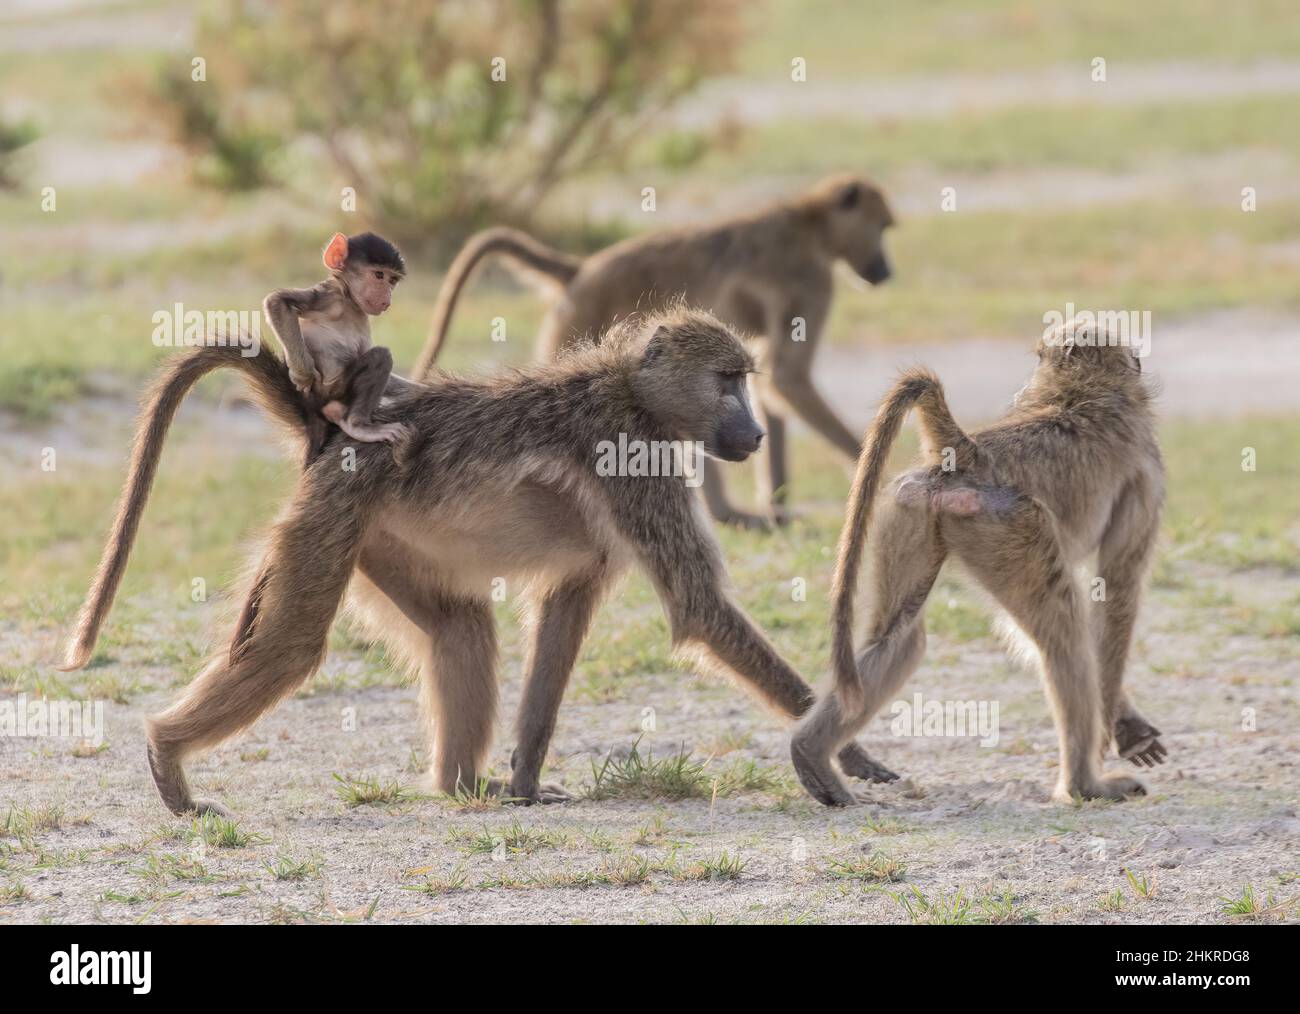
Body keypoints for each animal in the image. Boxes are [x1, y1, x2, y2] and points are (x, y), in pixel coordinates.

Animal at [59, 306, 895, 817]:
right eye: (728, 381)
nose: (754, 433)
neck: (632, 390)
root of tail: (333, 434)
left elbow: (562, 616)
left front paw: (526, 779)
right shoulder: (637, 468)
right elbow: (699, 608)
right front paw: (846, 753)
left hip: (378, 540)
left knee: (461, 631)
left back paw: (467, 787)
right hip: (331, 519)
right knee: (290, 649)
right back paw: (167, 759)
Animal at [263, 231, 412, 463]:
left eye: (392, 280)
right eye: (379, 275)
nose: (387, 300)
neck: (349, 301)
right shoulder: (329, 295)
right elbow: (277, 302)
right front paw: (303, 374)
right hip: (333, 391)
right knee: (380, 357)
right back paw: (356, 425)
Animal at [411, 173, 896, 530]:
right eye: (882, 227)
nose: (886, 271)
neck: (810, 225)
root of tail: (580, 271)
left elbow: (771, 386)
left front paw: (779, 504)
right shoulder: (811, 281)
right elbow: (787, 377)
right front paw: (876, 476)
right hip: (577, 328)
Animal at [790, 318, 1167, 807]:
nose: (1022, 386)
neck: (1079, 393)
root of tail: (969, 452)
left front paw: (1128, 722)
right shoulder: (1146, 471)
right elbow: (1118, 591)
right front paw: (1118, 729)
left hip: (909, 507)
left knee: (900, 637)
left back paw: (811, 757)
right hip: (1014, 523)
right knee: (1065, 630)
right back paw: (1085, 784)